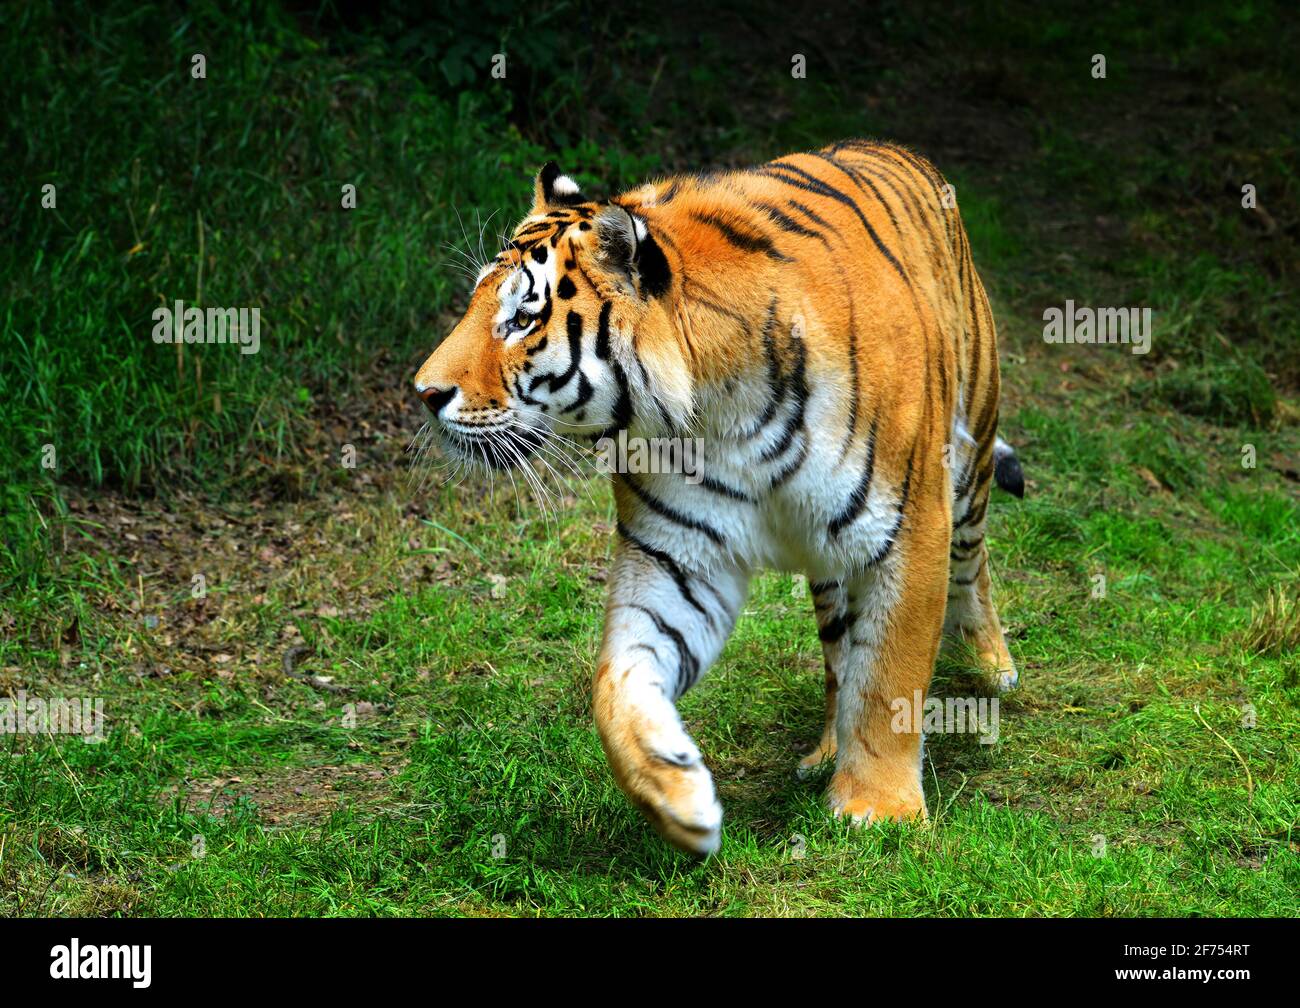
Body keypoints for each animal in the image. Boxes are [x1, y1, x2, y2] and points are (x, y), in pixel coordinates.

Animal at [413, 140, 1024, 855]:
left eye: (522, 318)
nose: (423, 393)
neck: (720, 412)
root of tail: (895, 148)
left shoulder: (907, 528)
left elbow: (890, 676)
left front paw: (878, 809)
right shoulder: (676, 556)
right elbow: (616, 680)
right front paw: (673, 793)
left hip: (970, 449)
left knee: (972, 562)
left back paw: (993, 665)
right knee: (840, 651)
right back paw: (824, 750)